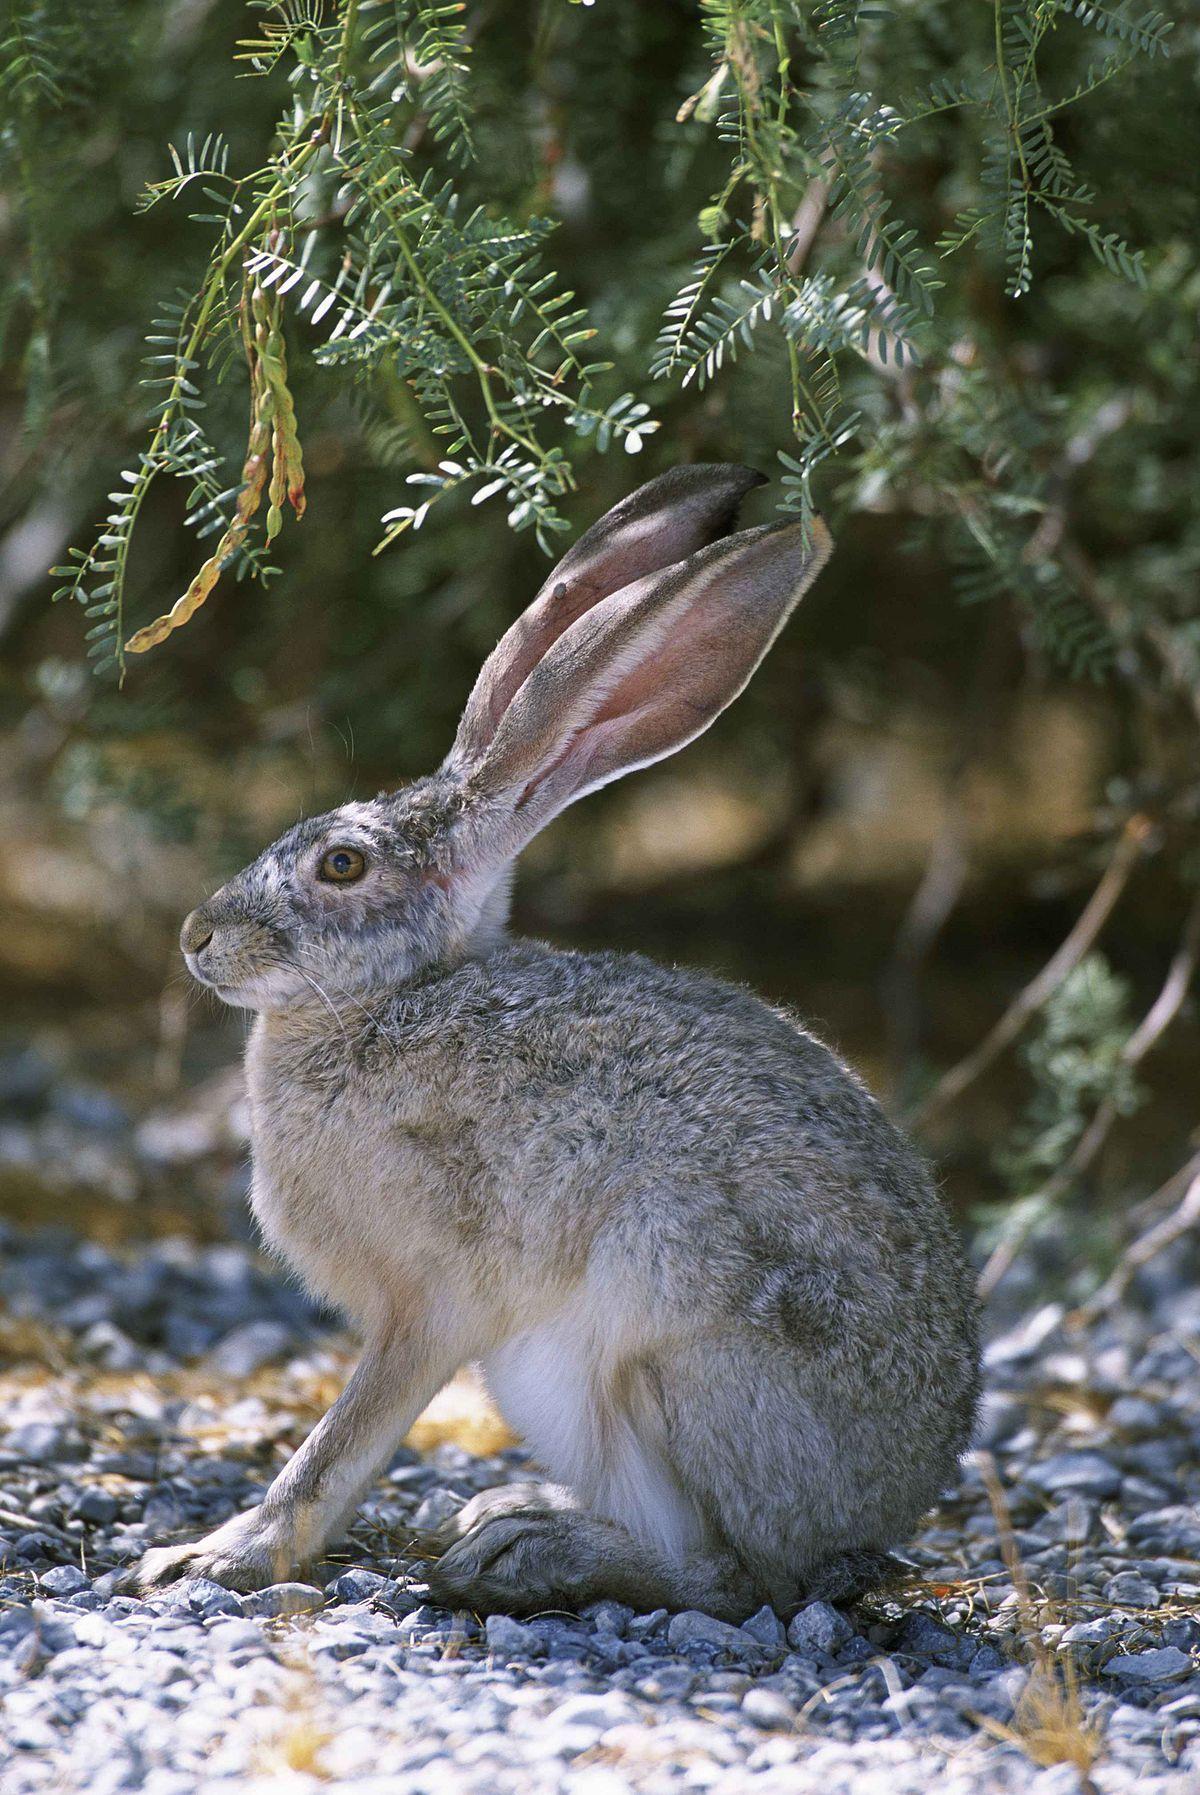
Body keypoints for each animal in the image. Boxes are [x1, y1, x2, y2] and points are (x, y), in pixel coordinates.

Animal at [118, 463, 980, 1618]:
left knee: (739, 1576)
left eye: (341, 866)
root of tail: (883, 1514)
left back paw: (527, 1556)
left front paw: (217, 1556)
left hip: (668, 1357)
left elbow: (341, 1441)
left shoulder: (429, 1303)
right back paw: (510, 1513)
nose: (198, 937)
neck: (390, 1001)